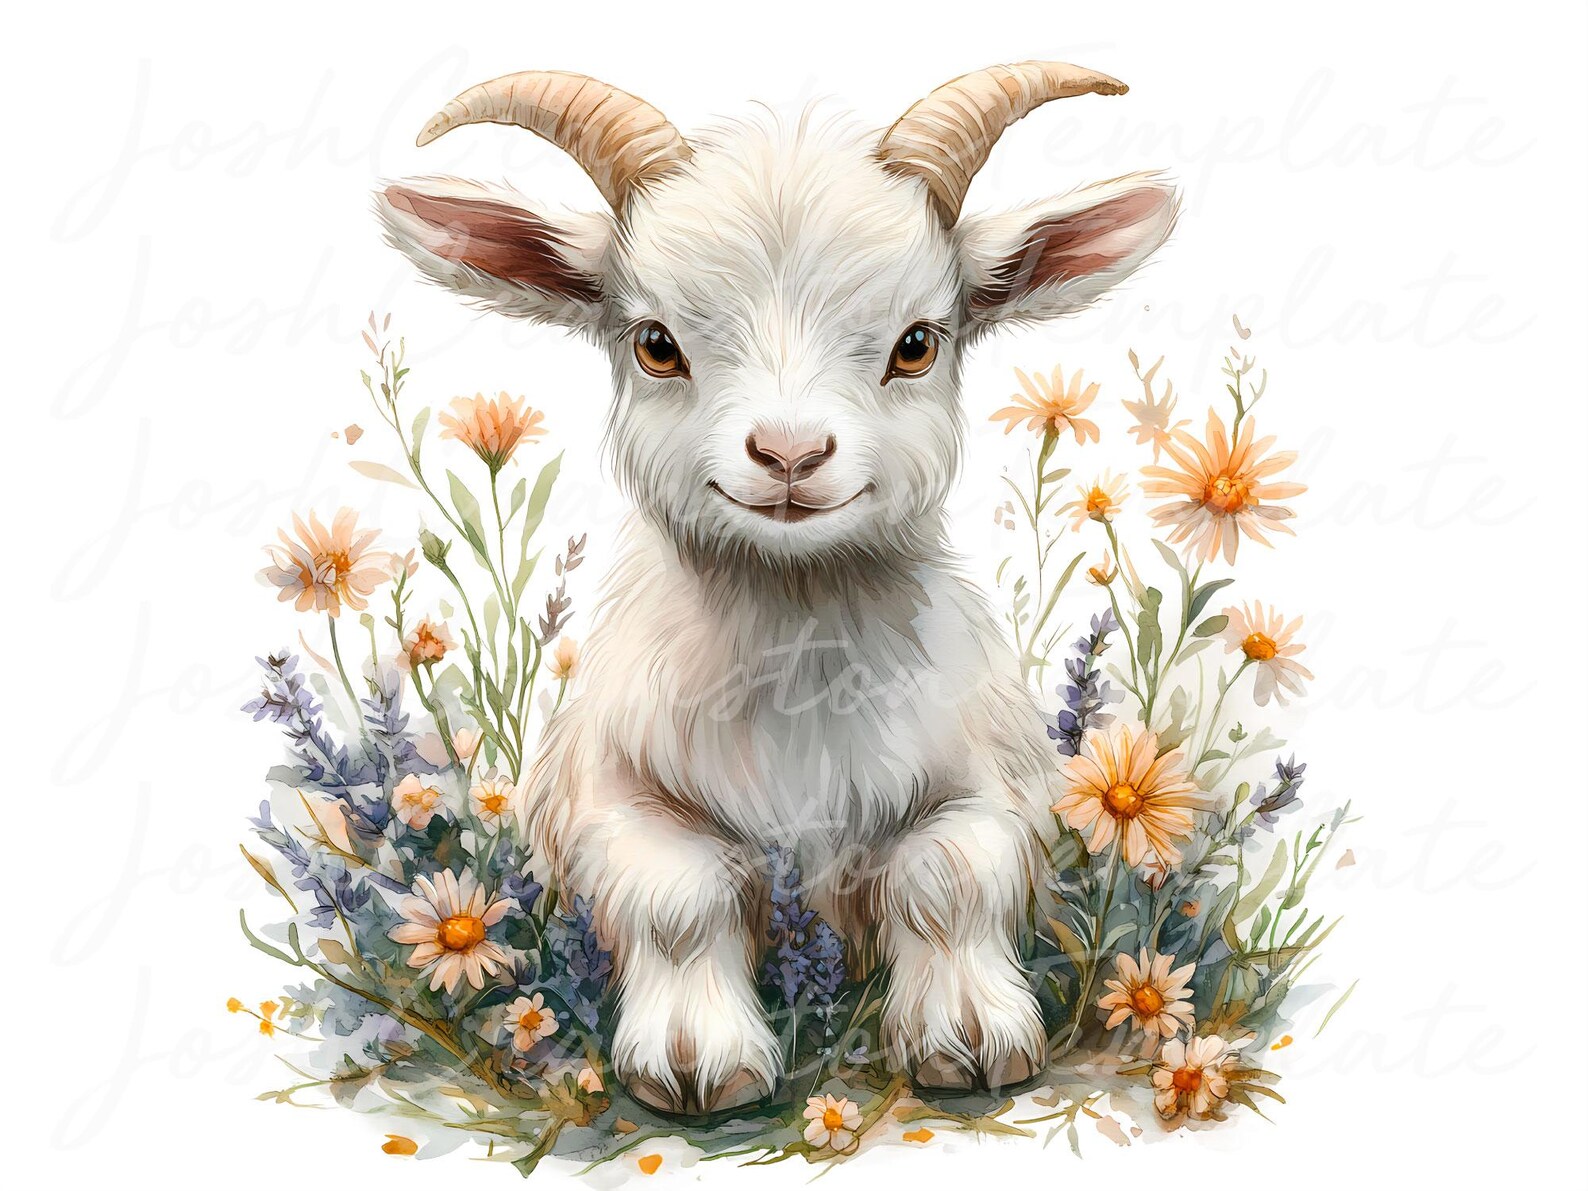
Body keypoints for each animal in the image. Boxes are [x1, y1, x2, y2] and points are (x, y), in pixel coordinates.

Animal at [378, 61, 1177, 1115]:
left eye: (918, 342)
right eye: (656, 342)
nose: (790, 454)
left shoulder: (993, 782)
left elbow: (949, 873)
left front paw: (969, 1035)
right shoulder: (609, 794)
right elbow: (679, 893)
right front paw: (695, 1058)